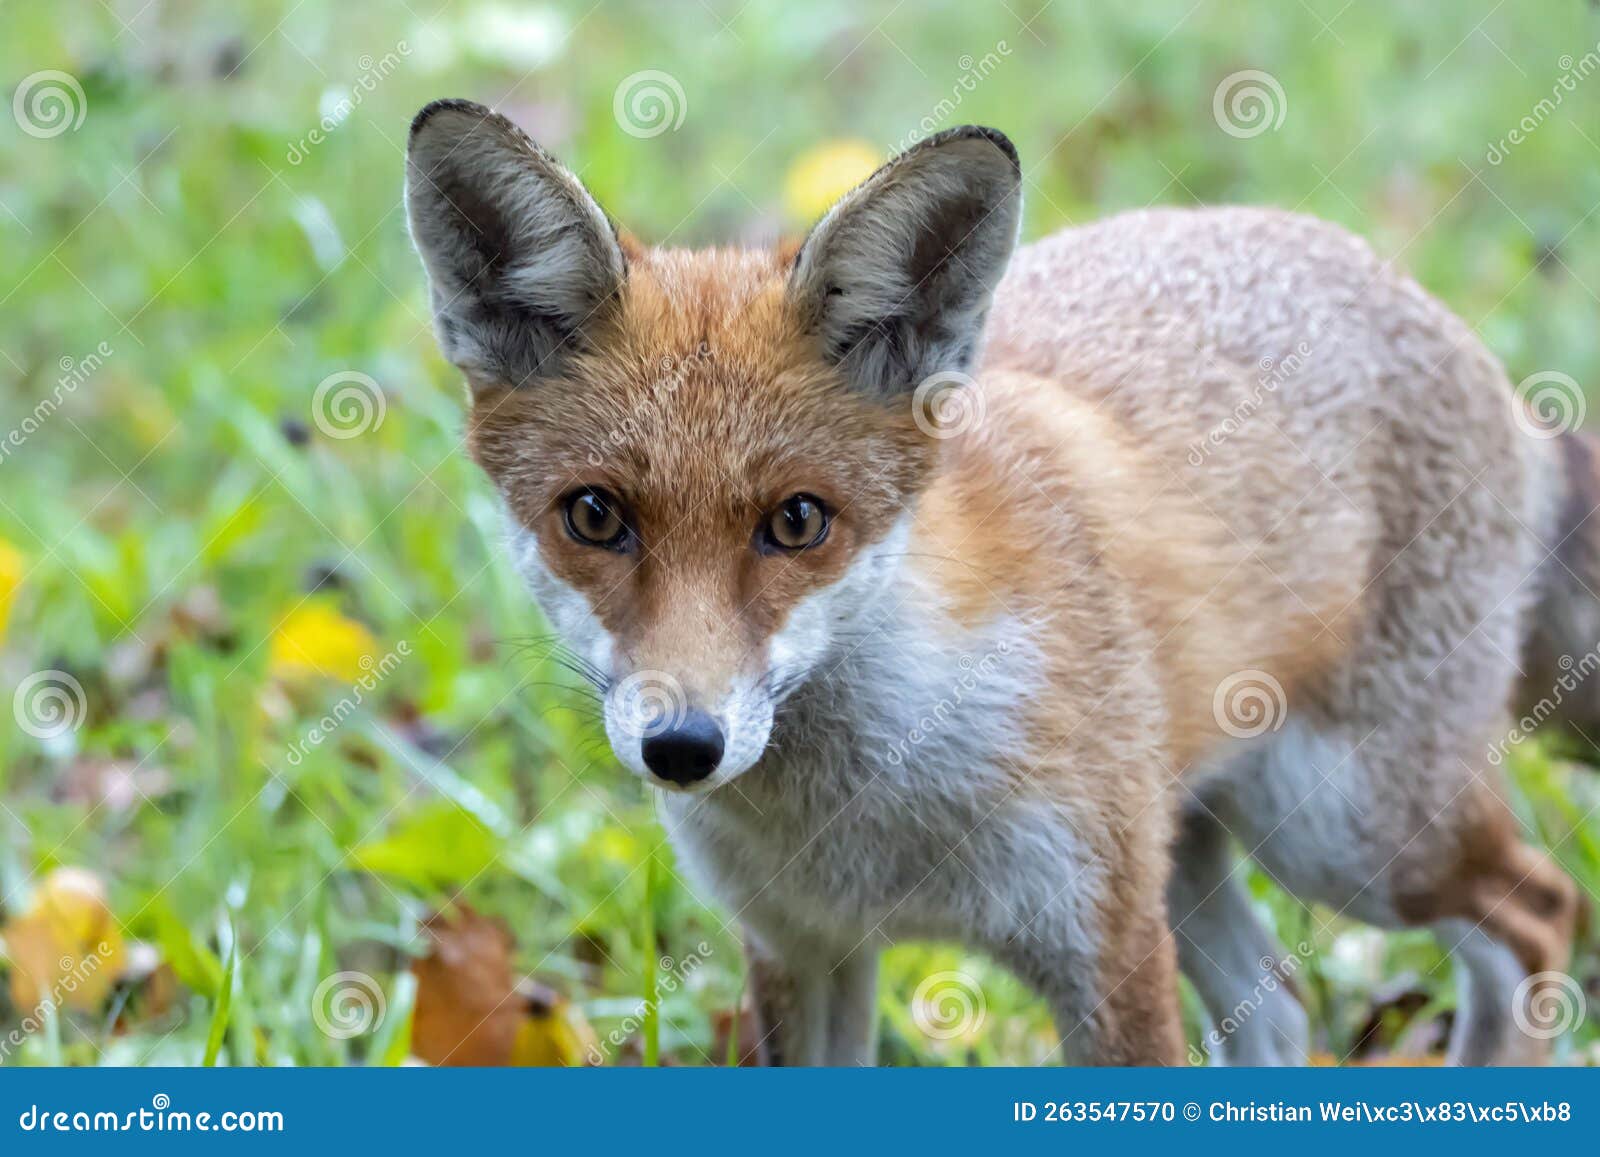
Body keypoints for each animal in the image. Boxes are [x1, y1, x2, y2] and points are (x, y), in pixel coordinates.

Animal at [404, 98, 1588, 1066]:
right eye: (595, 516)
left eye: (797, 521)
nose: (682, 746)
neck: (871, 820)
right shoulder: (805, 949)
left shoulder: (1102, 948)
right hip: (1195, 848)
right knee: (1286, 1006)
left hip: (1349, 833)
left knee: (1540, 912)